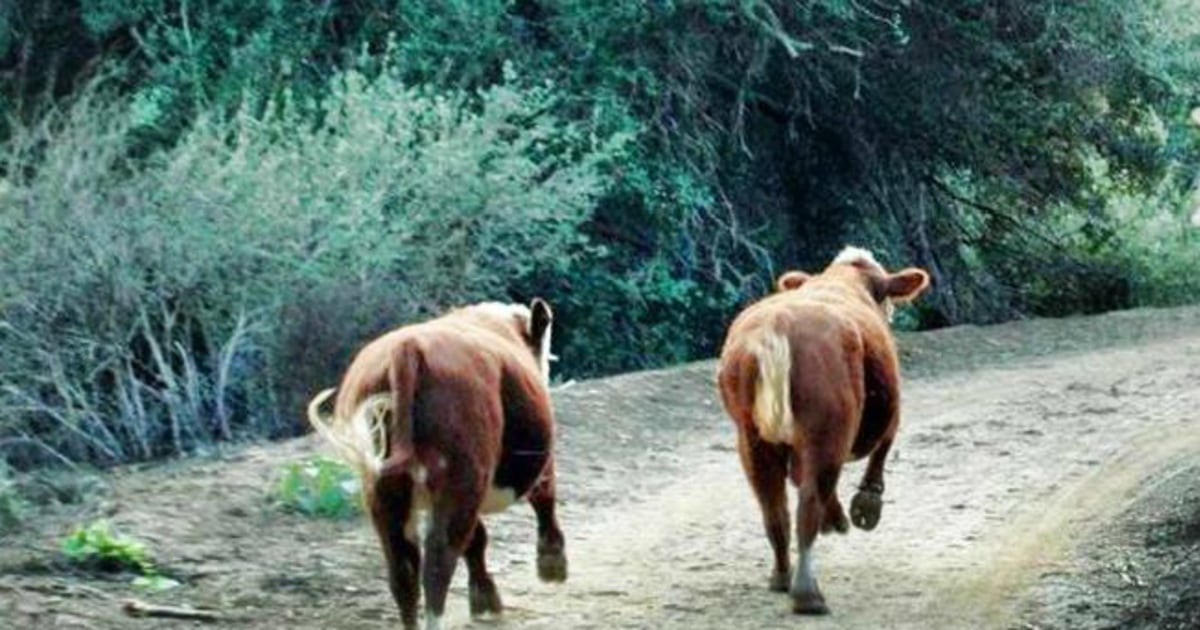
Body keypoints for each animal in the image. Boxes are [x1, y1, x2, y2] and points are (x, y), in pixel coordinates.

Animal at [306, 299, 566, 630]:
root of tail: (407, 348)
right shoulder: (536, 465)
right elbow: (544, 498)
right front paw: (552, 562)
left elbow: (477, 539)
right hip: (463, 478)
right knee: (439, 561)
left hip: (383, 490)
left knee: (403, 570)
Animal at [716, 246, 930, 615]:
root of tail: (778, 324)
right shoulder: (891, 414)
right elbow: (882, 450)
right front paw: (865, 506)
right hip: (828, 430)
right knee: (809, 503)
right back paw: (808, 593)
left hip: (752, 439)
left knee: (775, 511)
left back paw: (782, 576)